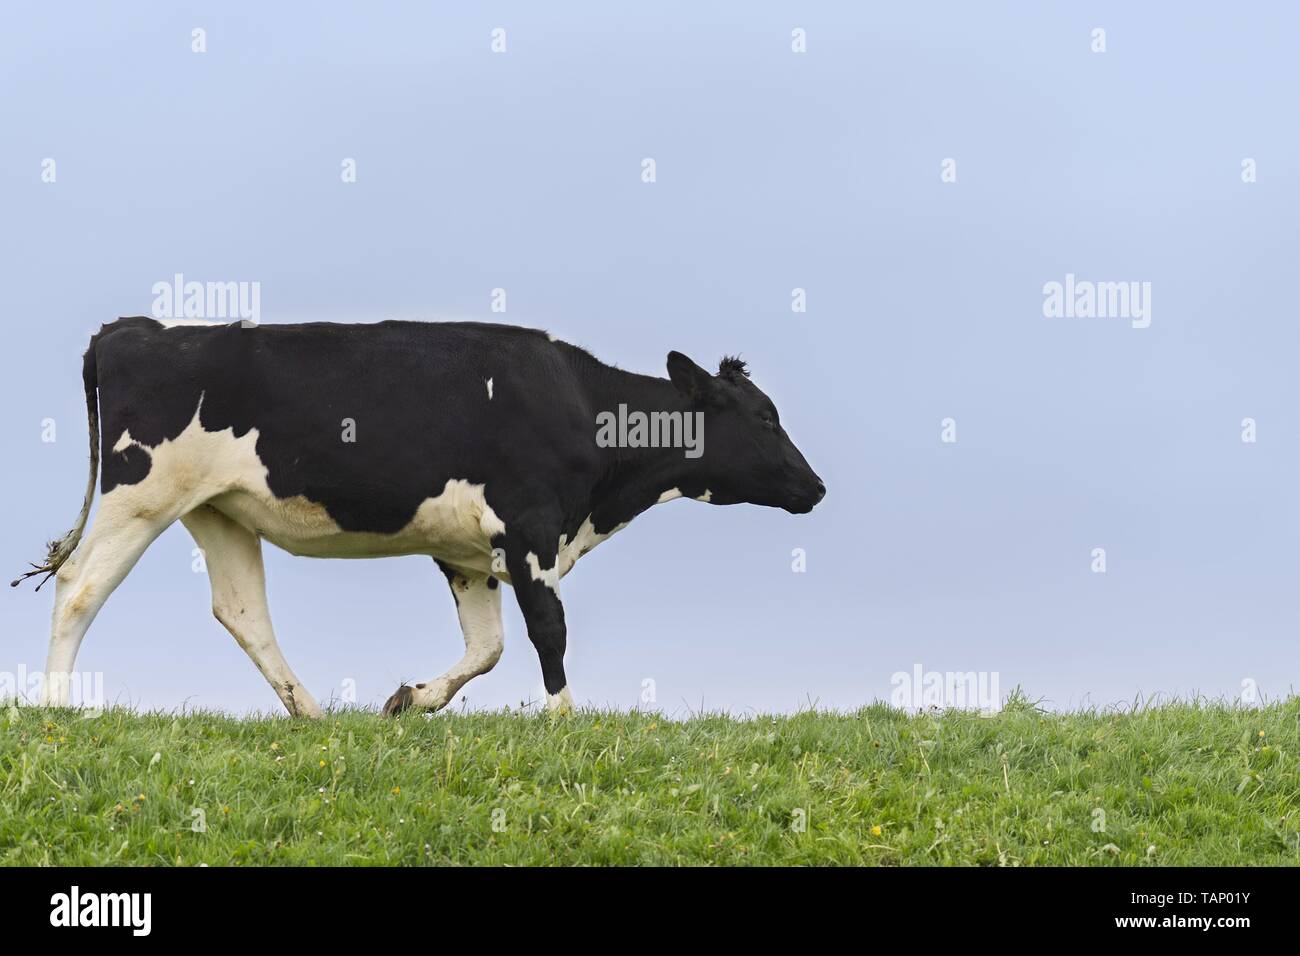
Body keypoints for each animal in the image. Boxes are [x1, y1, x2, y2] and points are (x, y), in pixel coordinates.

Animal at [14, 317, 825, 716]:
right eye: (764, 416)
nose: (816, 487)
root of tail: (132, 327)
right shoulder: (530, 530)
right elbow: (549, 632)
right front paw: (565, 720)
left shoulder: (470, 552)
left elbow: (488, 648)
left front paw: (411, 699)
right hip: (142, 492)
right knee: (81, 587)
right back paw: (58, 710)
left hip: (216, 509)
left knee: (242, 610)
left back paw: (311, 712)